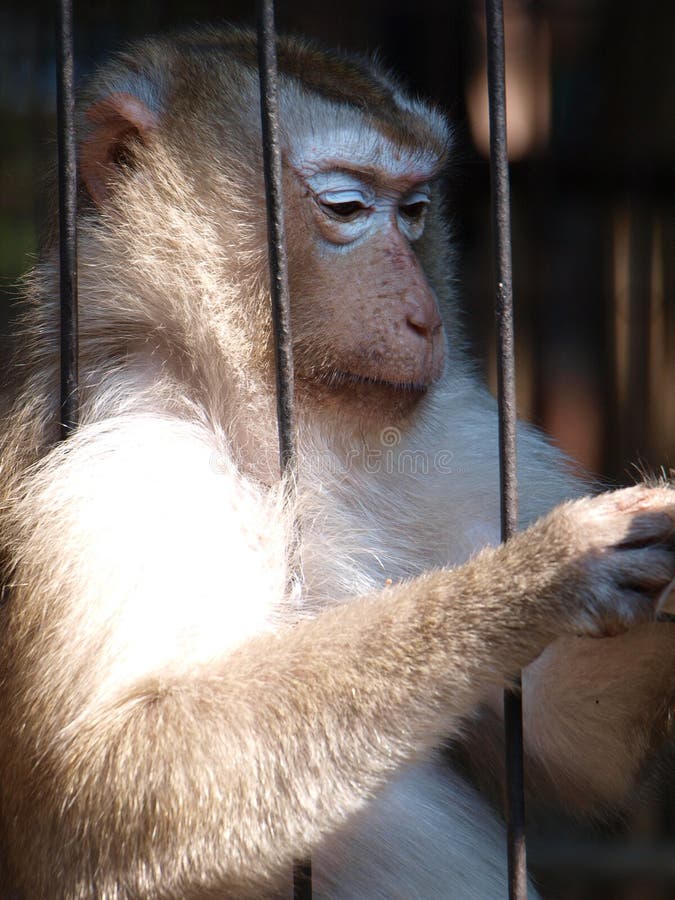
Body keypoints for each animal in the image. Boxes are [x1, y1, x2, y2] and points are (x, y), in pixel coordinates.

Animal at [0, 26, 673, 900]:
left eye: (415, 211)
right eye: (347, 209)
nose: (424, 316)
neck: (267, 437)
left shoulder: (453, 438)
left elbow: (568, 738)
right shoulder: (114, 460)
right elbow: (103, 788)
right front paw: (537, 578)